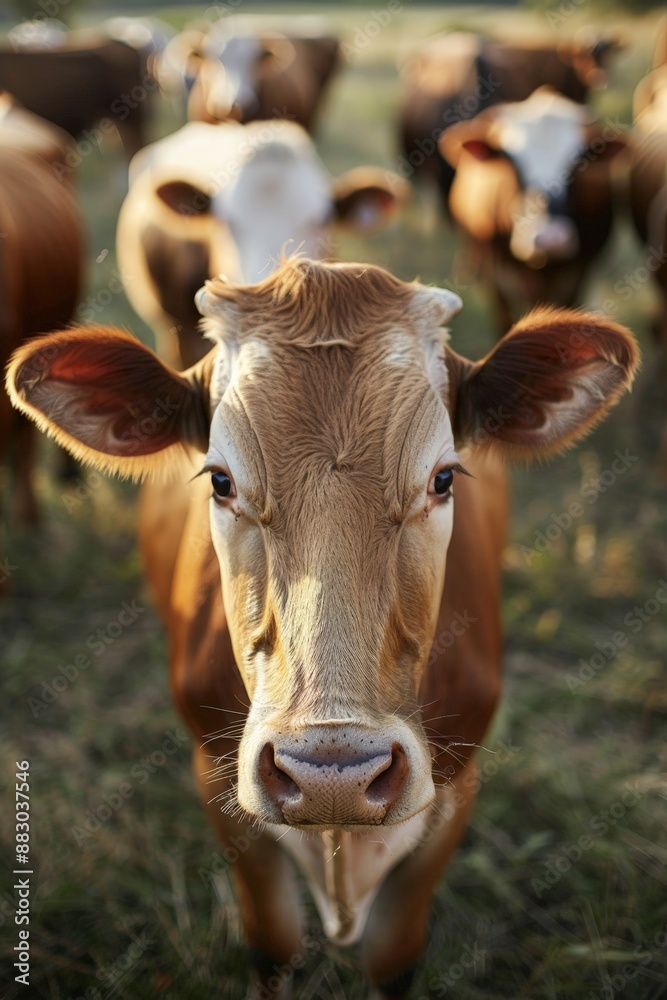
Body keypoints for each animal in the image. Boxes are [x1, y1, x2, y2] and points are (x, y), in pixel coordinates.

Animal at [6, 257, 638, 996]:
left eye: (443, 478)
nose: (330, 775)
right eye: (220, 480)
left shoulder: (454, 794)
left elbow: (394, 955)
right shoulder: (218, 783)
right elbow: (273, 944)